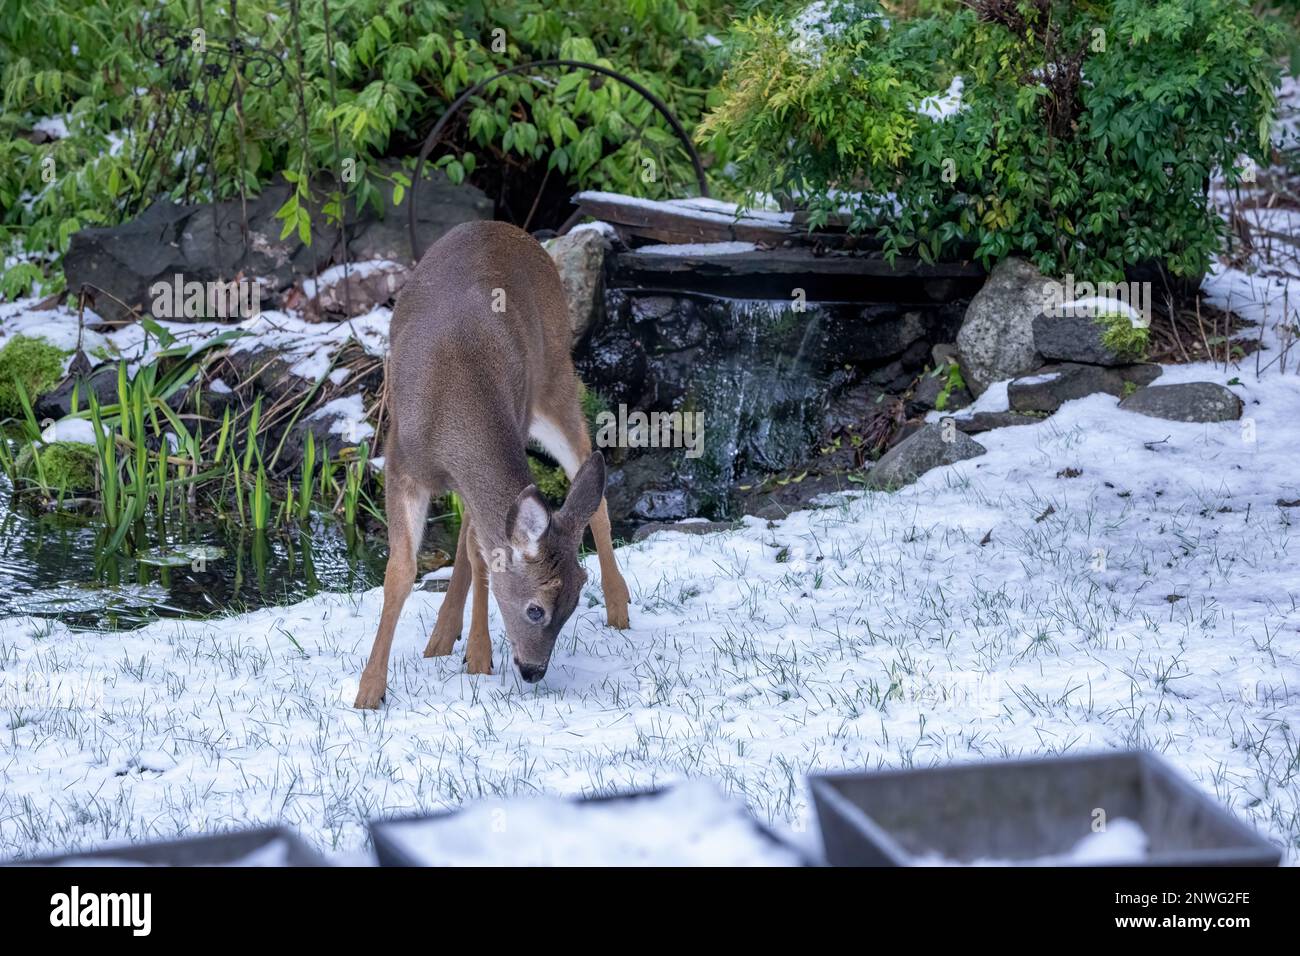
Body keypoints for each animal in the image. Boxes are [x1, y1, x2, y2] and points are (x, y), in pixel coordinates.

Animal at [354, 220, 631, 709]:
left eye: (573, 607)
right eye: (536, 609)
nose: (534, 671)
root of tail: (503, 225)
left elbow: (478, 553)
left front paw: (480, 657)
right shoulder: (400, 460)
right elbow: (402, 571)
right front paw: (369, 690)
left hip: (555, 378)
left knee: (589, 479)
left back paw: (619, 606)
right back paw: (442, 637)